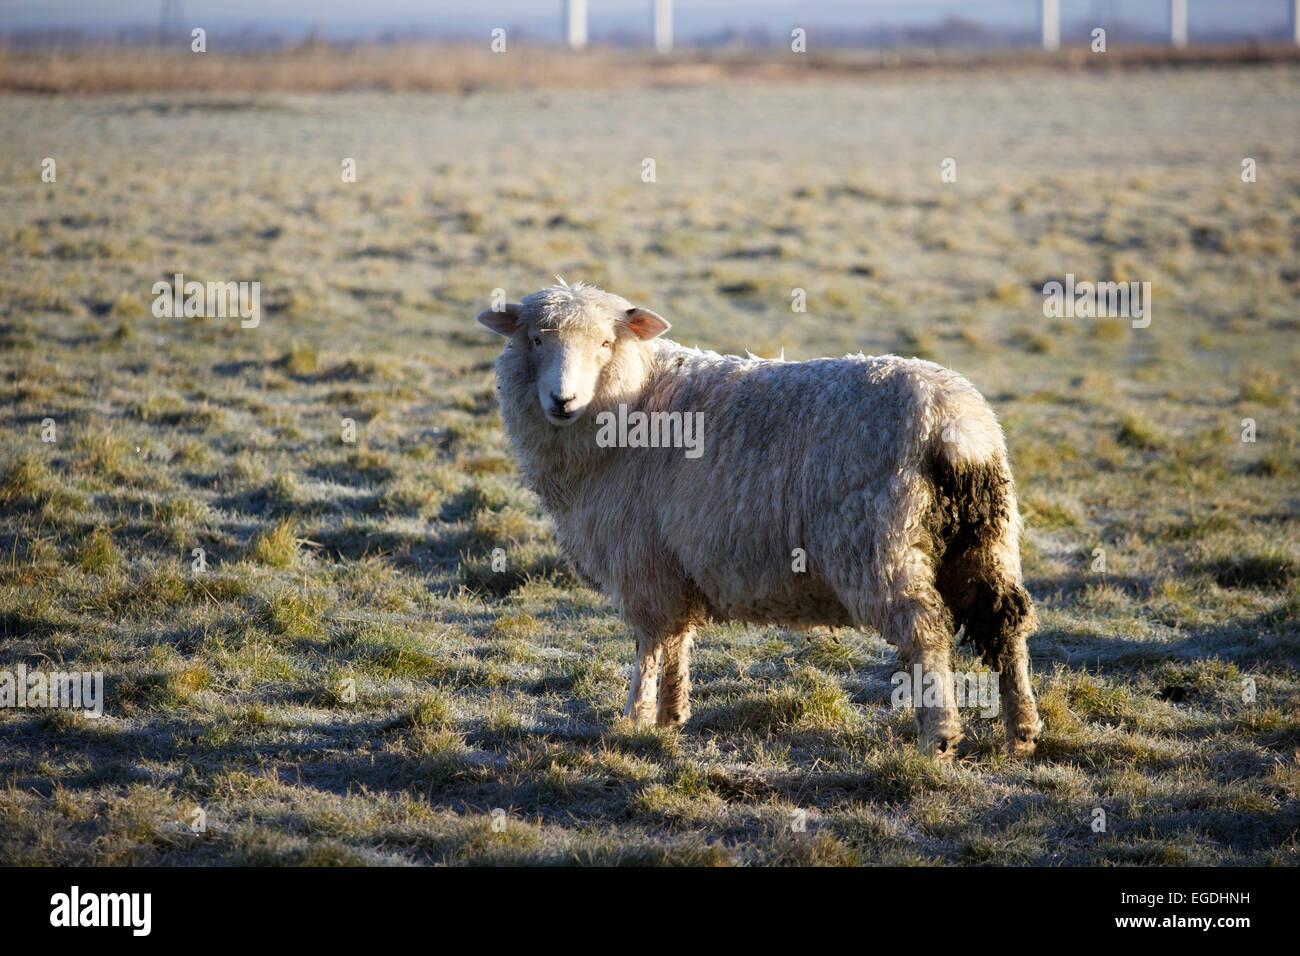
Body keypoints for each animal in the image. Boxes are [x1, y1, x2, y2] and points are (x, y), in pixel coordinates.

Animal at [477, 280, 1042, 758]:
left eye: (604, 343)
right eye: (535, 339)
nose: (562, 400)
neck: (635, 397)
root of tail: (954, 423)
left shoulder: (643, 561)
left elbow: (650, 643)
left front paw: (634, 717)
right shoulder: (674, 564)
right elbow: (677, 640)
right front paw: (670, 717)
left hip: (881, 547)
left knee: (925, 631)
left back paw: (939, 737)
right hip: (985, 539)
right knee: (1004, 620)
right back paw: (1021, 732)